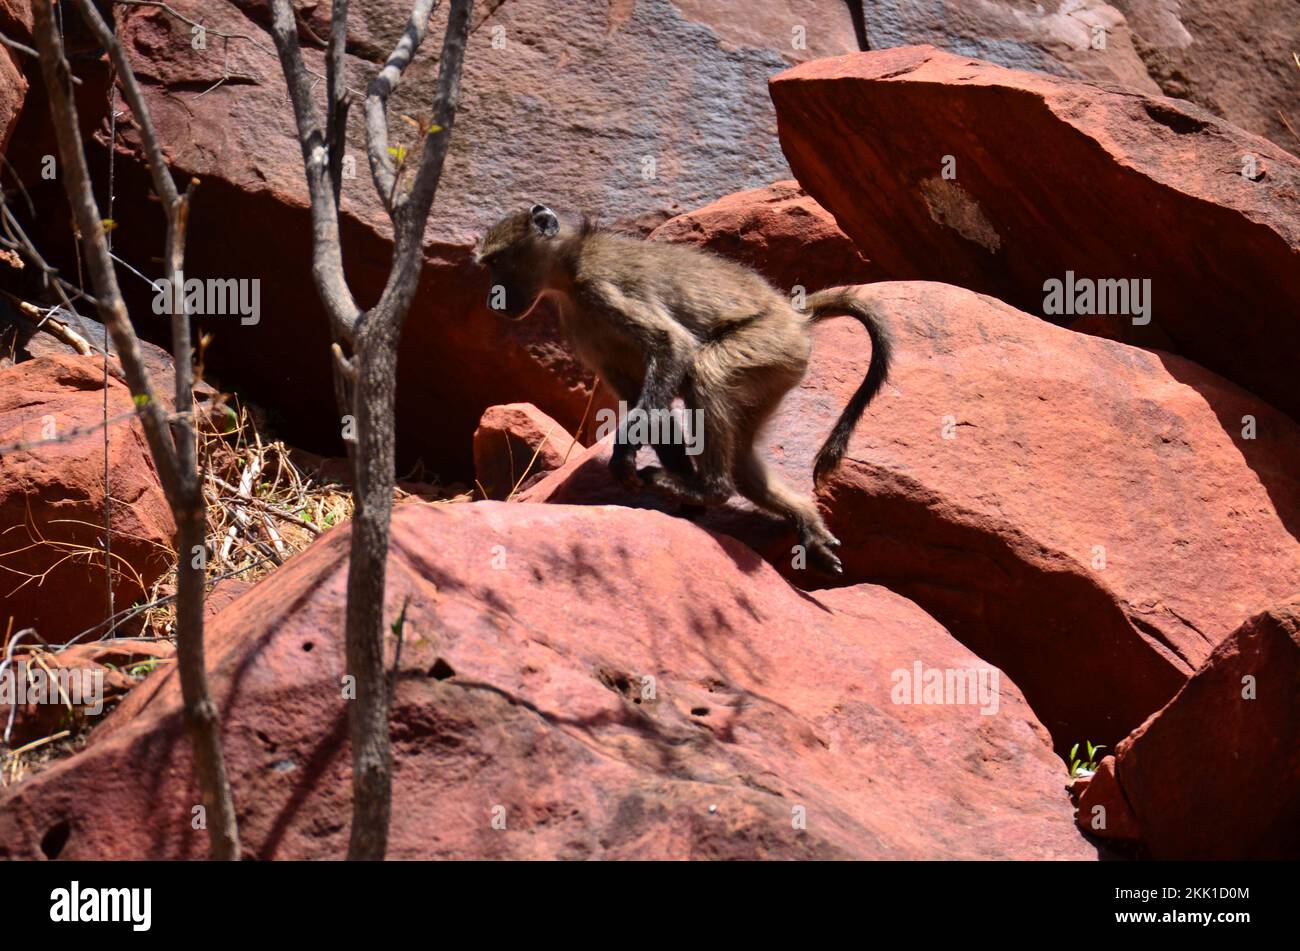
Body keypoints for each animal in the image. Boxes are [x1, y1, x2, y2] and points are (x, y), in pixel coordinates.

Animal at [475, 203, 892, 575]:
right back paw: (798, 516)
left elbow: (671, 345)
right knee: (740, 456)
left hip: (771, 343)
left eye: (497, 262)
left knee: (706, 371)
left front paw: (629, 460)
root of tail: (793, 315)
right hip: (776, 370)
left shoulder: (601, 289)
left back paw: (711, 488)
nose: (493, 300)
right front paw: (688, 506)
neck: (569, 266)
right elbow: (641, 396)